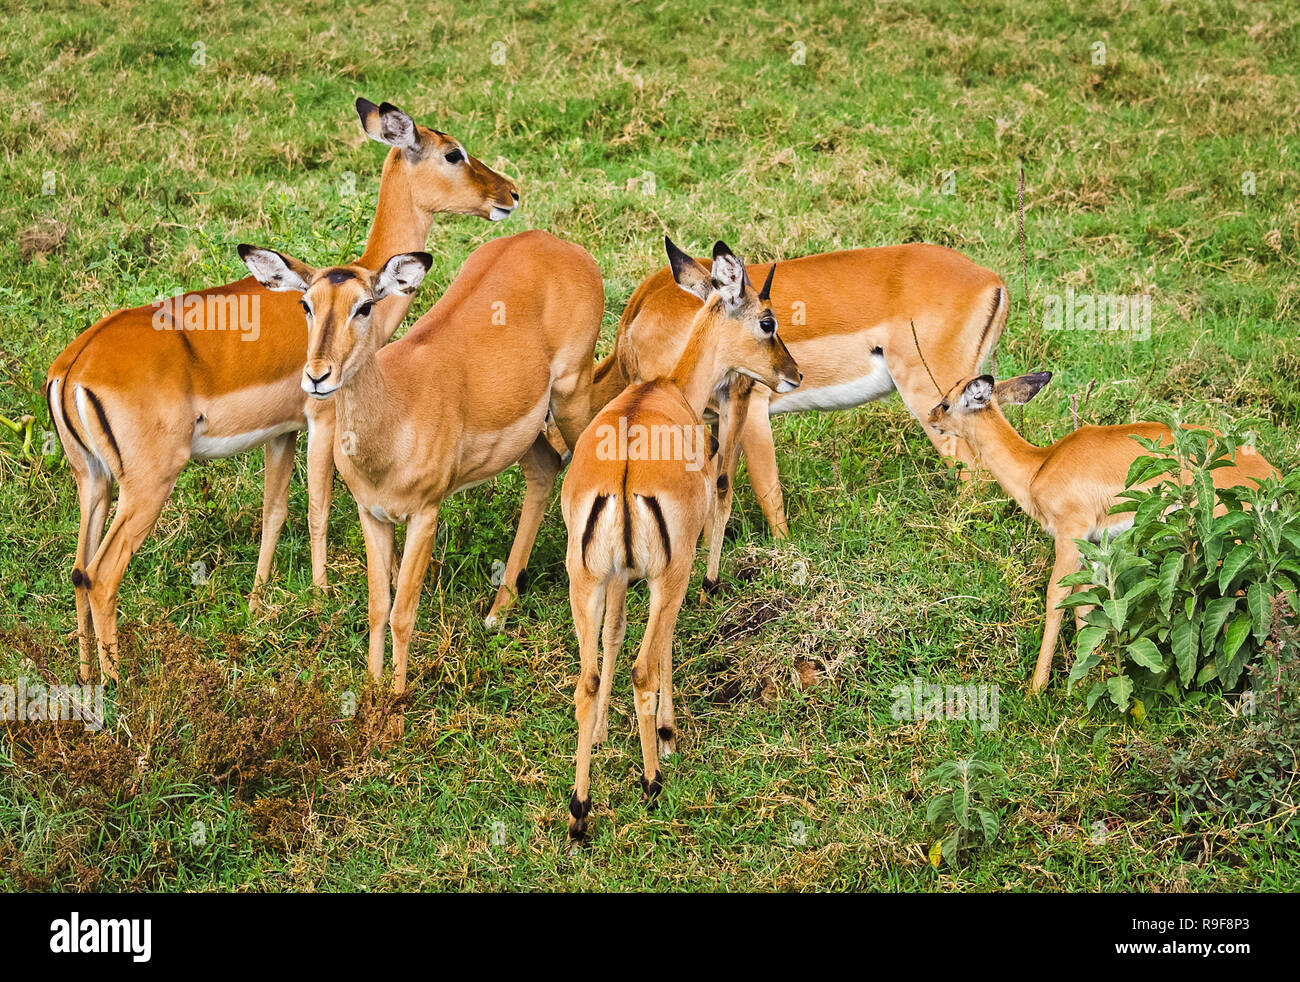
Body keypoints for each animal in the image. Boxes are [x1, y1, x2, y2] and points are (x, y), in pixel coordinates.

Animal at [45, 98, 517, 682]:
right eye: (453, 153)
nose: (509, 194)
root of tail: (73, 367)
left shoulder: (279, 434)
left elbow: (273, 512)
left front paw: (257, 600)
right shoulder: (322, 421)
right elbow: (317, 507)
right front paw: (320, 597)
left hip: (93, 480)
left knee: (78, 569)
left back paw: (88, 674)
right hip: (148, 484)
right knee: (102, 573)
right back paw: (118, 684)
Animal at [239, 230, 604, 695]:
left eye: (364, 305)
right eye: (307, 304)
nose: (318, 376)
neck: (396, 415)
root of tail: (558, 244)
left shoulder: (424, 514)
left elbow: (402, 613)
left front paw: (396, 697)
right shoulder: (372, 514)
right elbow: (378, 607)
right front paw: (373, 689)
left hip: (573, 395)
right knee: (545, 469)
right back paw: (497, 612)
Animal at [562, 238, 801, 838]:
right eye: (767, 320)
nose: (793, 373)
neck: (667, 389)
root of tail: (623, 474)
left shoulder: (620, 579)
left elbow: (613, 637)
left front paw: (606, 734)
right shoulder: (675, 570)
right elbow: (662, 649)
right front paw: (667, 738)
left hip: (585, 581)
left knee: (587, 679)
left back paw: (579, 809)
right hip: (667, 577)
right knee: (645, 667)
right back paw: (651, 782)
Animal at [593, 245, 1007, 590]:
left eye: (769, 322)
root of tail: (991, 280)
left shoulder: (749, 410)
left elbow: (766, 491)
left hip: (931, 399)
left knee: (974, 471)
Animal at [927, 372, 1280, 691]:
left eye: (946, 403)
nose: (931, 417)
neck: (1039, 467)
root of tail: (1270, 473)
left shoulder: (1070, 535)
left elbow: (1057, 597)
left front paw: (1037, 688)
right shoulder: (1095, 545)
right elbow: (1085, 603)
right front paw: (1088, 675)